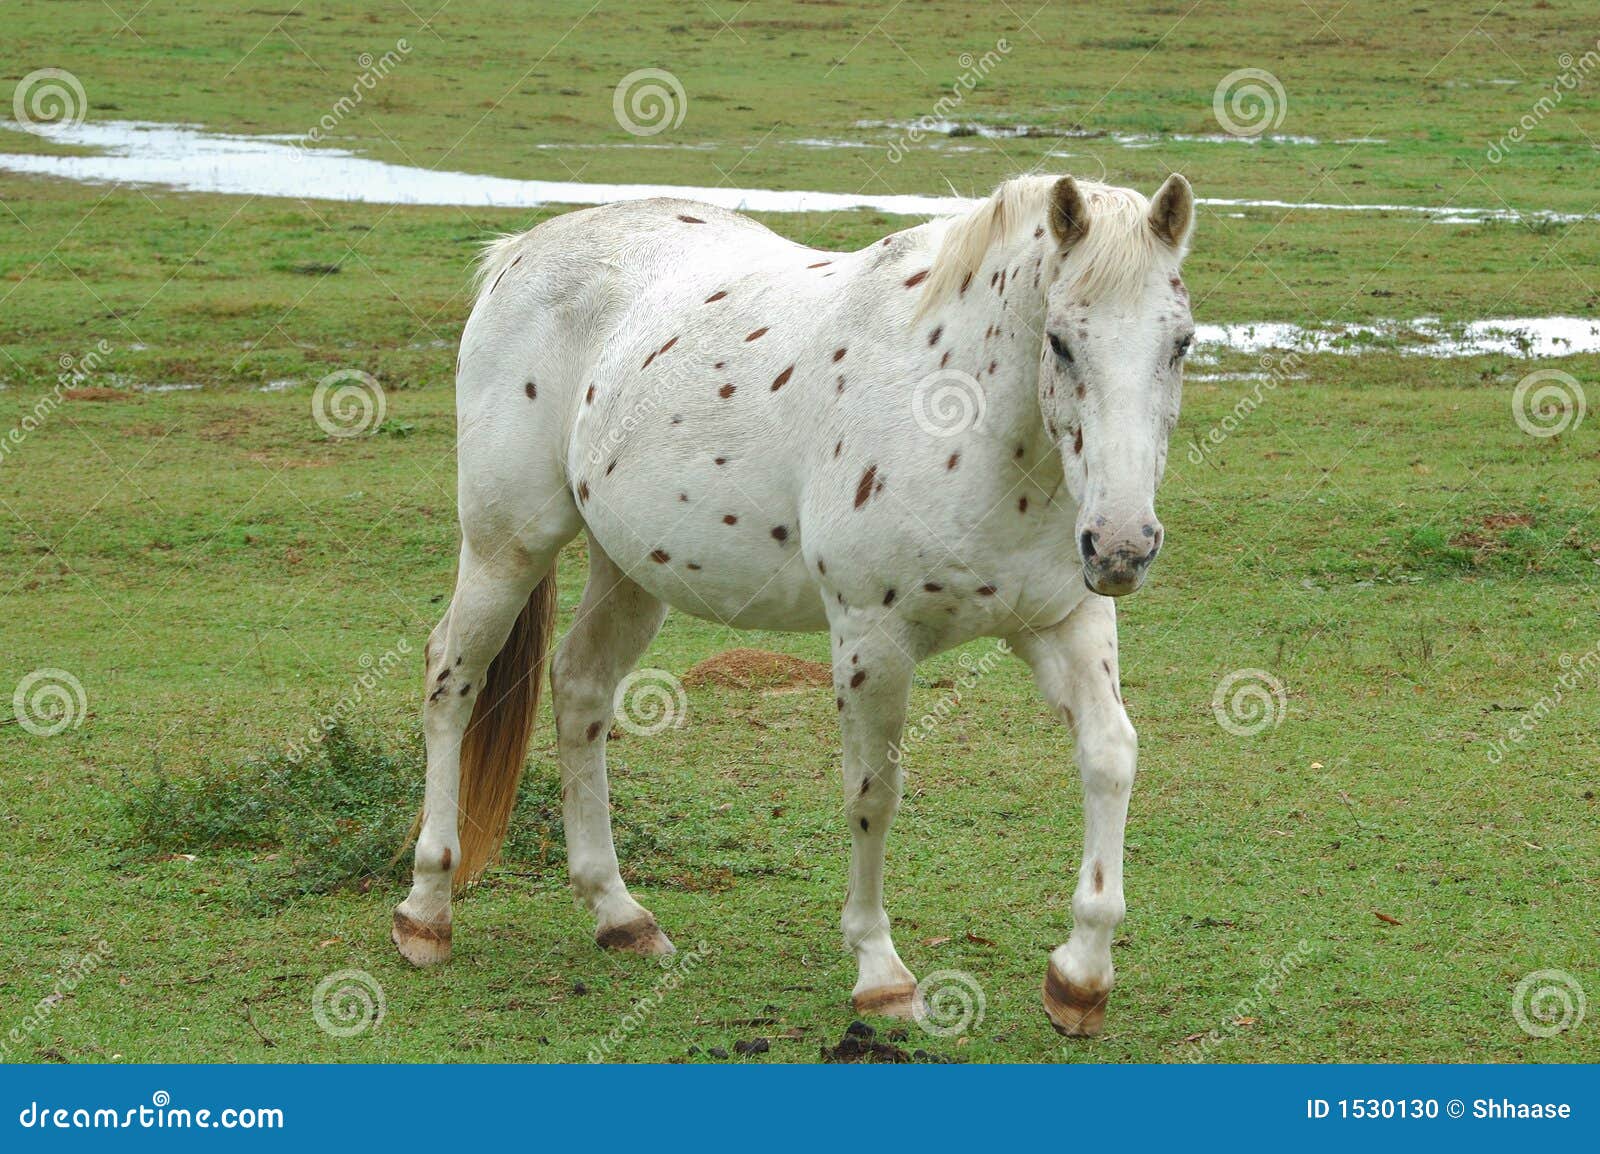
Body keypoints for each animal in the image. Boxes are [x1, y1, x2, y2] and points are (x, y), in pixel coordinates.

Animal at [392, 171, 1196, 1037]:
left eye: (1181, 343)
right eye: (1061, 341)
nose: (1123, 545)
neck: (966, 418)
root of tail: (521, 253)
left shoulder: (1064, 621)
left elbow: (1110, 756)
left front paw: (1082, 974)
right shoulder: (873, 638)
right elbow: (873, 792)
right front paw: (880, 972)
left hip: (629, 570)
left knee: (579, 690)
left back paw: (618, 913)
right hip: (506, 547)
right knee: (451, 680)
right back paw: (426, 910)